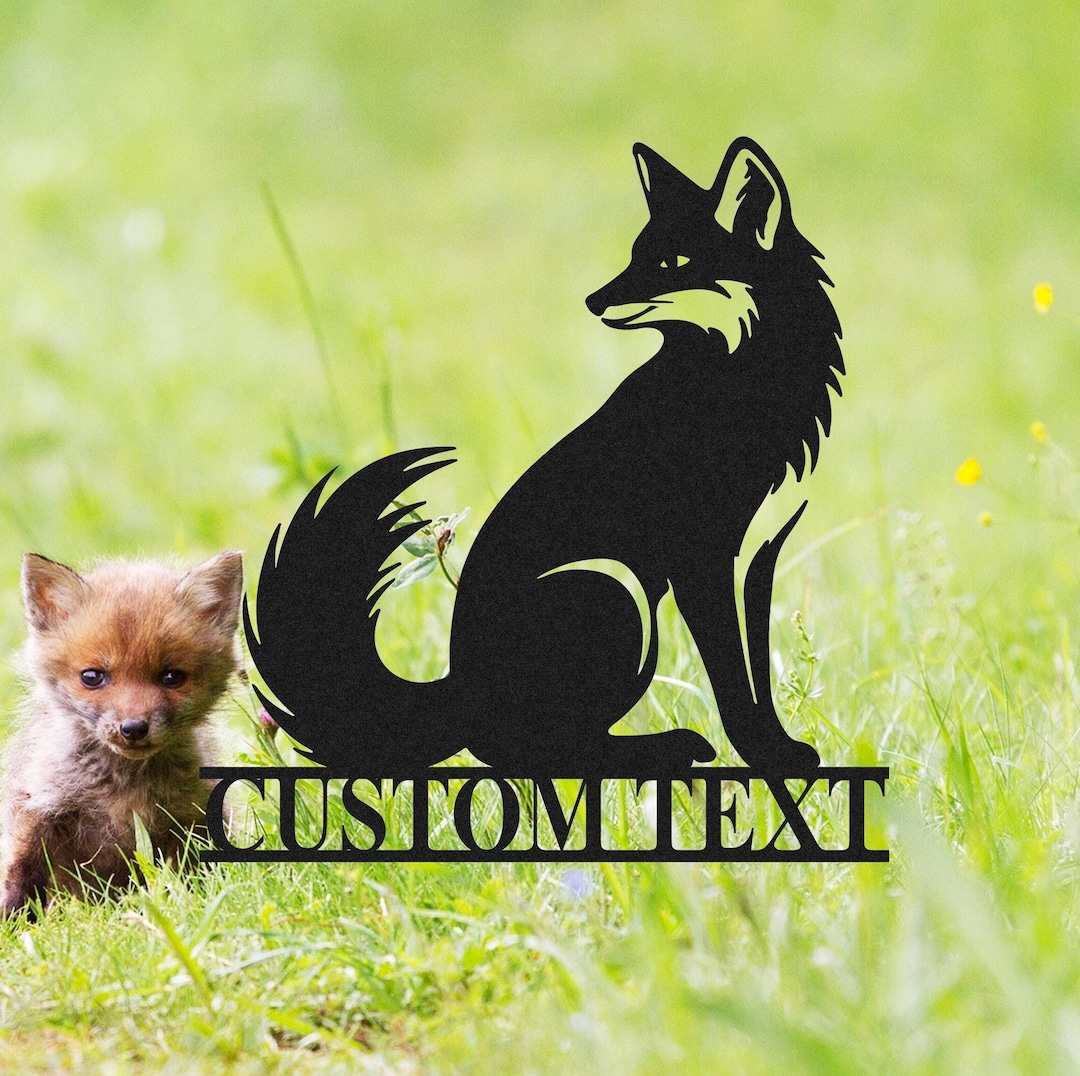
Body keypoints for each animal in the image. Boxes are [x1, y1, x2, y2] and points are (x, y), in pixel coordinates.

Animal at [0, 551, 243, 916]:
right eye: (91, 677)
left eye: (172, 677)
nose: (133, 728)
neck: (122, 788)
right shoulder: (37, 810)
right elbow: (20, 875)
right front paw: (12, 920)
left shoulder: (190, 818)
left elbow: (189, 877)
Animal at [245, 136, 844, 777]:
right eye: (636, 255)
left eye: (670, 263)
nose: (591, 300)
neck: (737, 388)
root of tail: (457, 687)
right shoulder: (698, 557)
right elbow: (733, 679)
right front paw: (765, 756)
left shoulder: (760, 551)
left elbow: (755, 668)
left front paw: (778, 751)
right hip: (617, 591)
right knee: (525, 749)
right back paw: (664, 749)